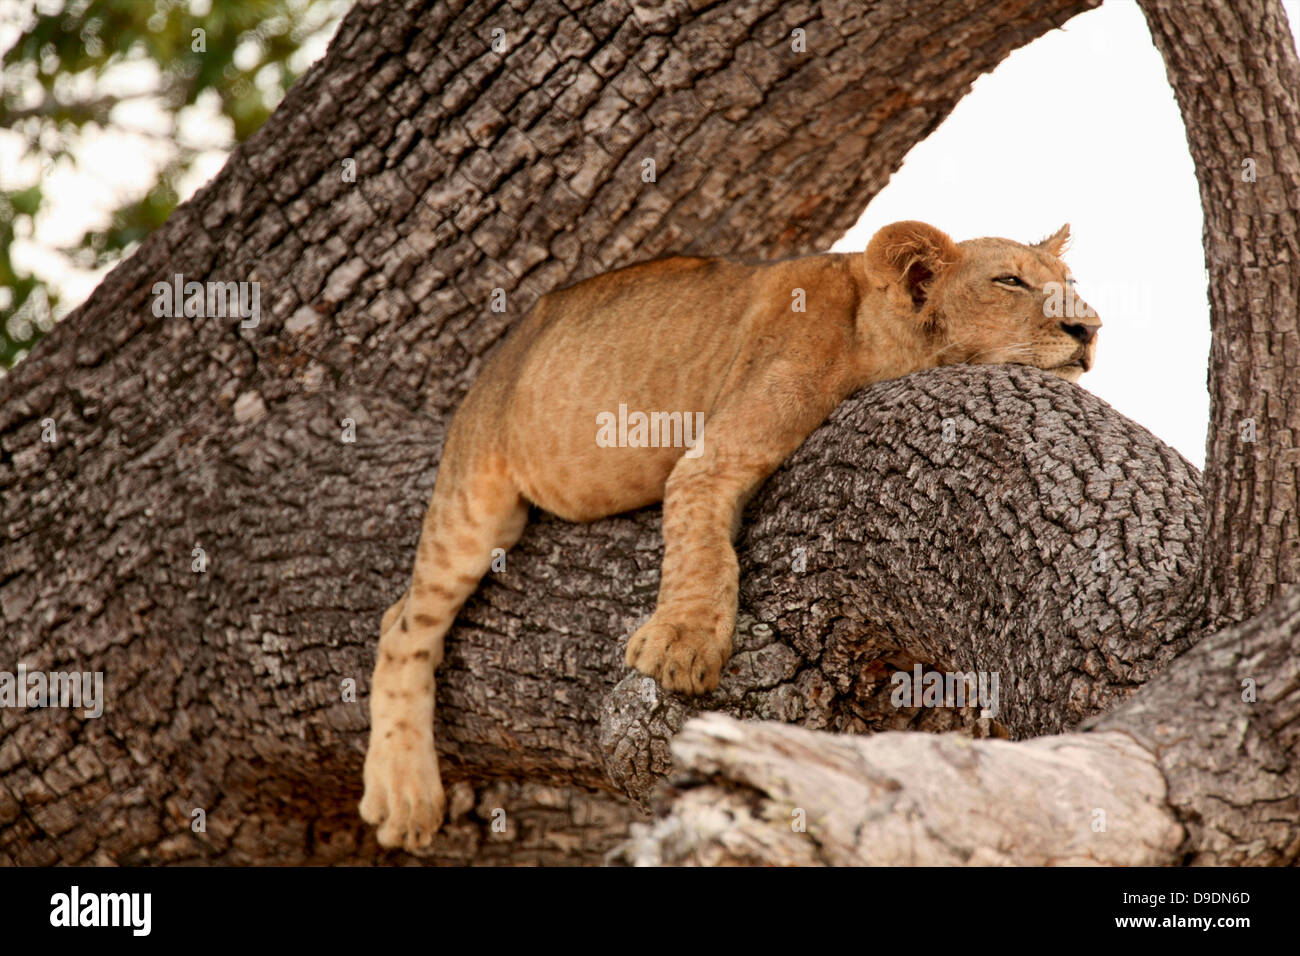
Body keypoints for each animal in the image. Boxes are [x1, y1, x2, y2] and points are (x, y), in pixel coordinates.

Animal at [360, 220, 1100, 852]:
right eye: (1009, 281)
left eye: (1069, 280)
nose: (1089, 327)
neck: (872, 331)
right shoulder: (711, 455)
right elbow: (702, 548)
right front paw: (682, 646)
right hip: (474, 497)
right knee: (403, 623)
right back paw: (404, 794)